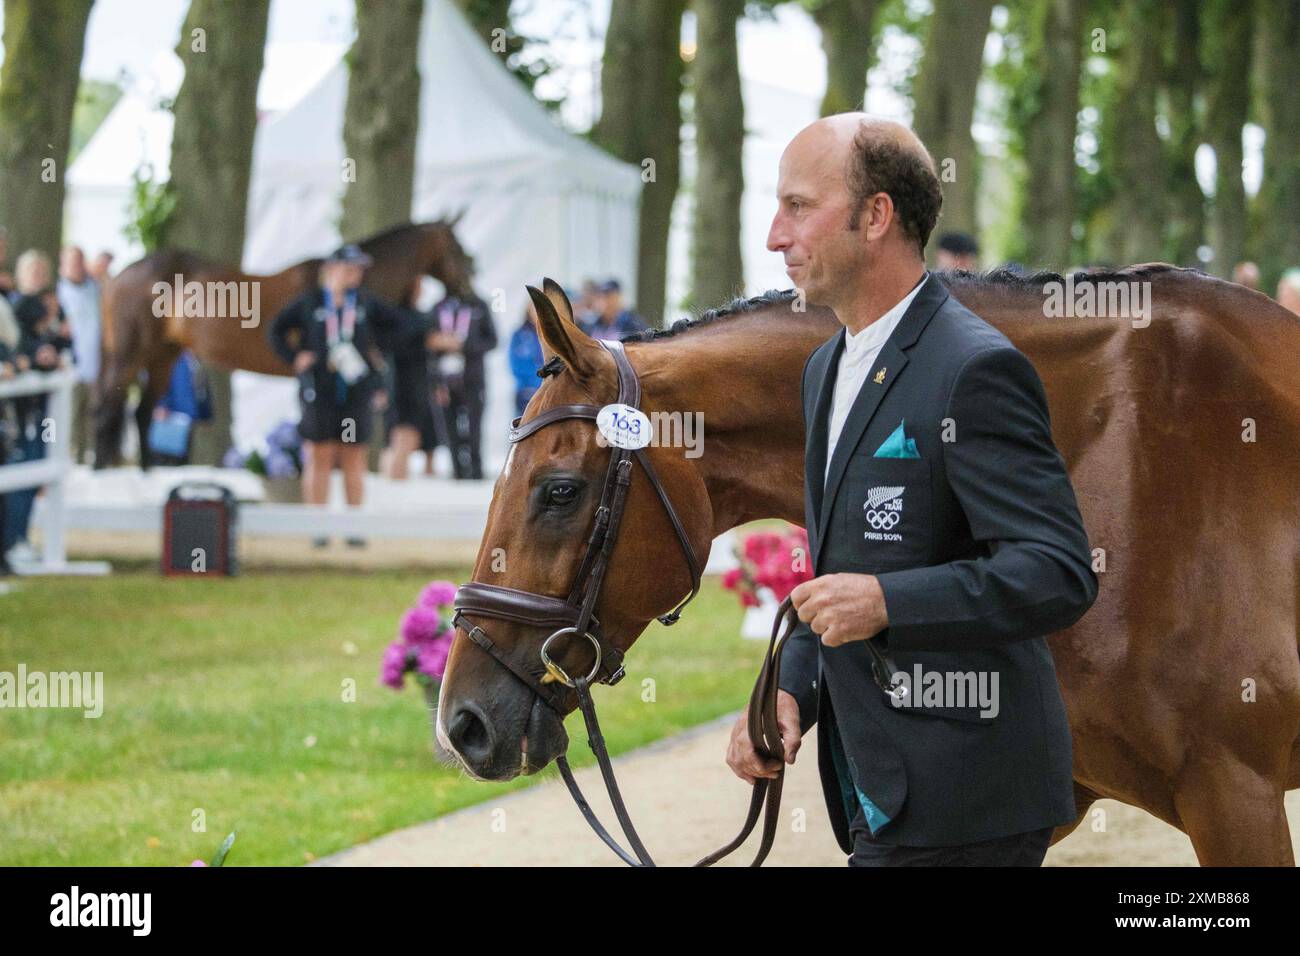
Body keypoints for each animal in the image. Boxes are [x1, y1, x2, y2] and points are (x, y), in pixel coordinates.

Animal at [93, 218, 476, 468]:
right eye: (460, 251)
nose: (471, 295)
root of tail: (121, 275)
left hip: (163, 356)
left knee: (141, 413)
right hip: (130, 354)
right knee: (107, 409)